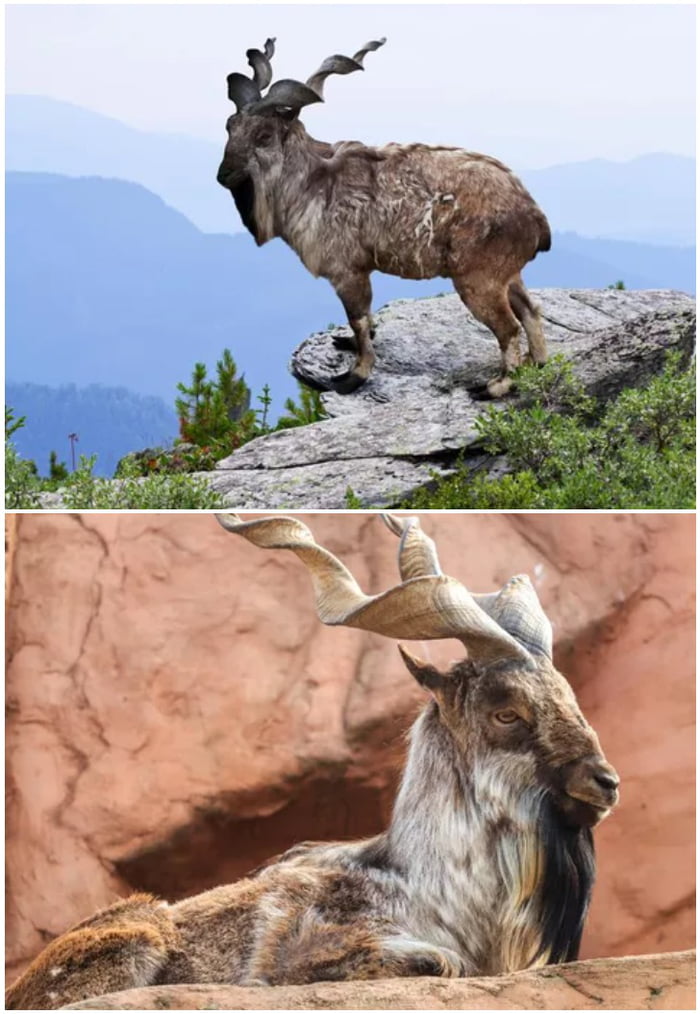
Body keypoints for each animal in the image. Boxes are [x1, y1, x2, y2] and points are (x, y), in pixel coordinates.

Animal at [6, 514, 618, 1010]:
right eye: (506, 712)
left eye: (567, 695)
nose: (605, 782)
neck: (438, 890)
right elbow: (432, 962)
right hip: (137, 936)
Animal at [217, 39, 551, 397]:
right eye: (230, 126)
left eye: (264, 135)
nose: (224, 176)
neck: (314, 182)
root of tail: (535, 216)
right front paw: (347, 344)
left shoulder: (347, 271)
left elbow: (359, 319)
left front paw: (354, 376)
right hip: (508, 274)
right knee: (530, 311)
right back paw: (536, 363)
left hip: (479, 279)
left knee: (508, 327)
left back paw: (495, 387)